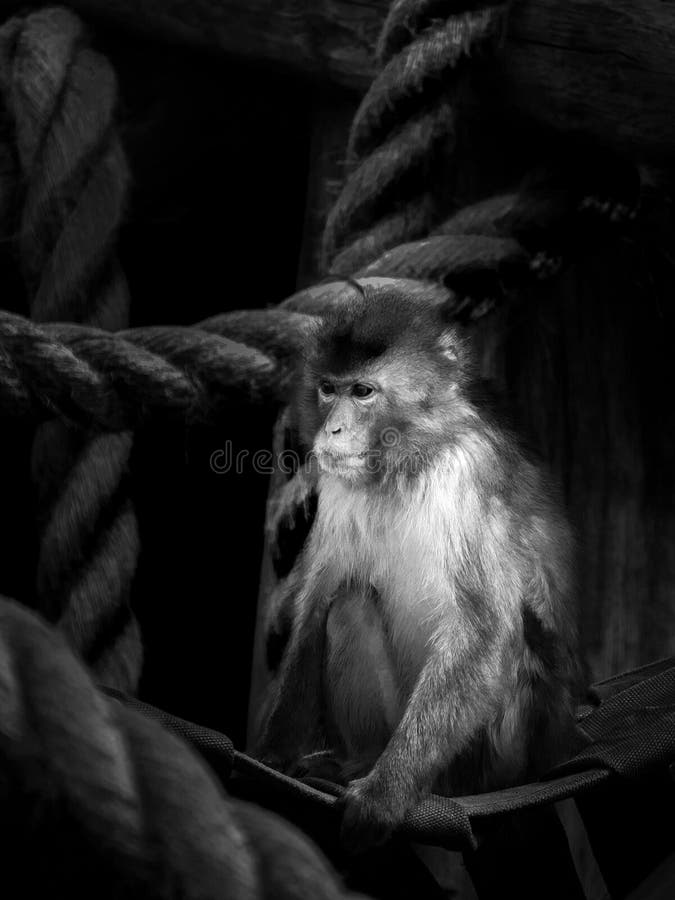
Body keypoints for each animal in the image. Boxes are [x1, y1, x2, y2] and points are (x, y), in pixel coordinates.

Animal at [255, 280, 585, 850]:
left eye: (363, 392)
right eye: (328, 389)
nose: (333, 430)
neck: (406, 458)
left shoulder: (467, 471)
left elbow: (482, 632)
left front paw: (384, 797)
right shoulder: (339, 485)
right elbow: (315, 608)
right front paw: (273, 756)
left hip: (492, 753)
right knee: (349, 605)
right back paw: (357, 762)